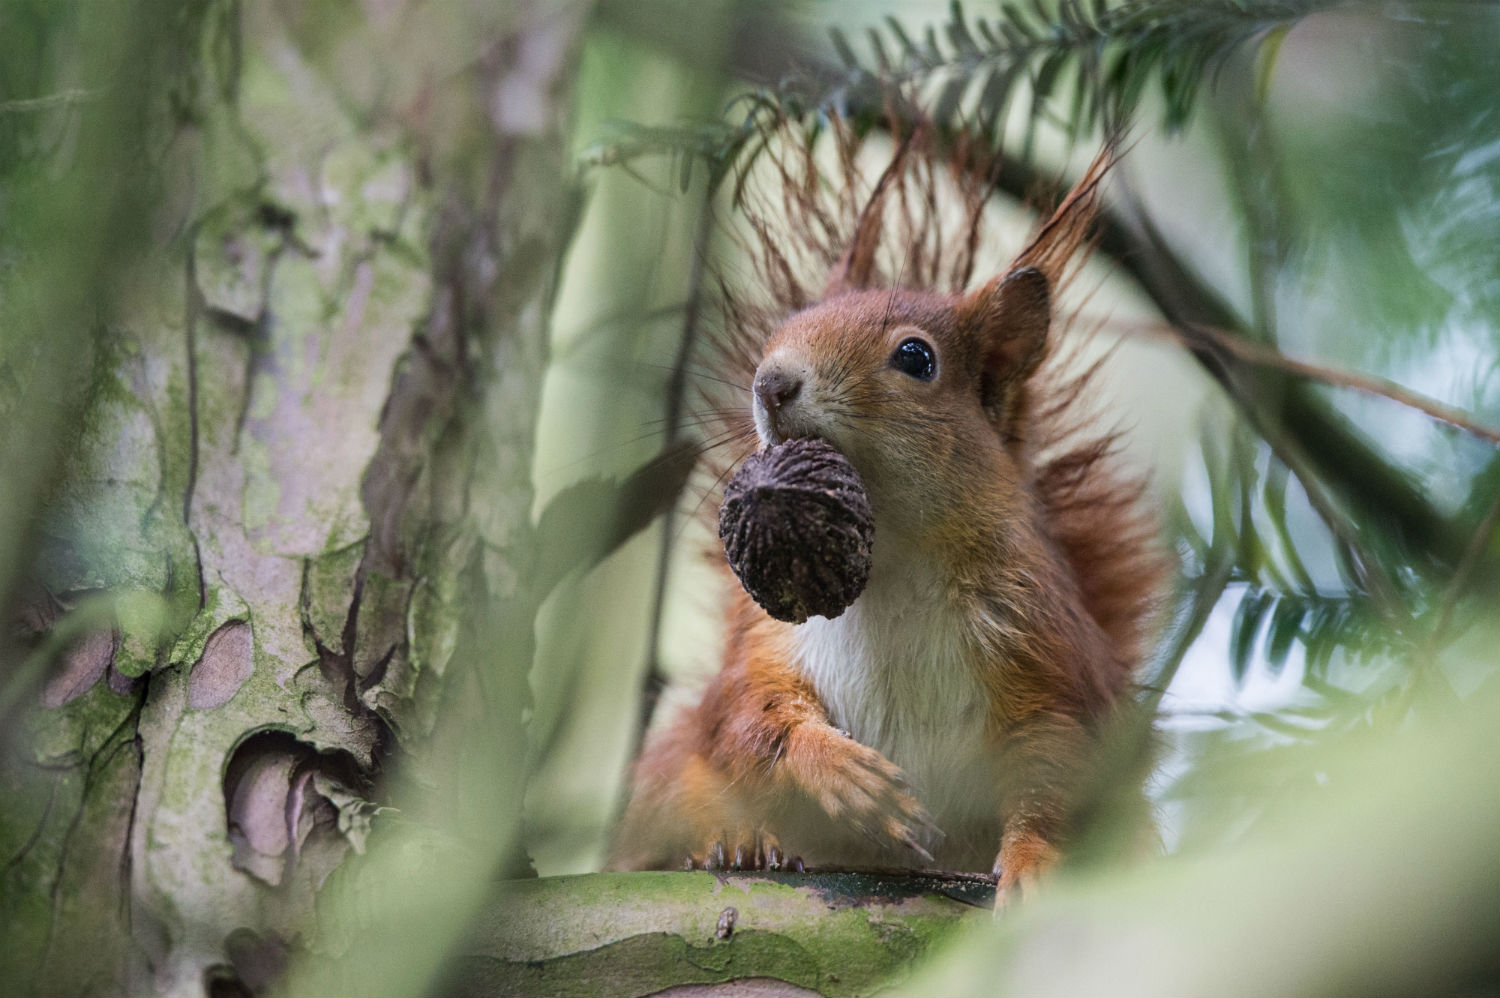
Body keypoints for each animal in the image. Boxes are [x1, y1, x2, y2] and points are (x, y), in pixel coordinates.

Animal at [609, 135, 1168, 902]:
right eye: (779, 332)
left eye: (915, 357)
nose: (769, 383)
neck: (891, 565)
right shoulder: (766, 636)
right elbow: (746, 716)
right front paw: (844, 777)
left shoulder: (1045, 643)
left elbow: (1053, 761)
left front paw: (1033, 859)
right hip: (670, 778)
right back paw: (737, 838)